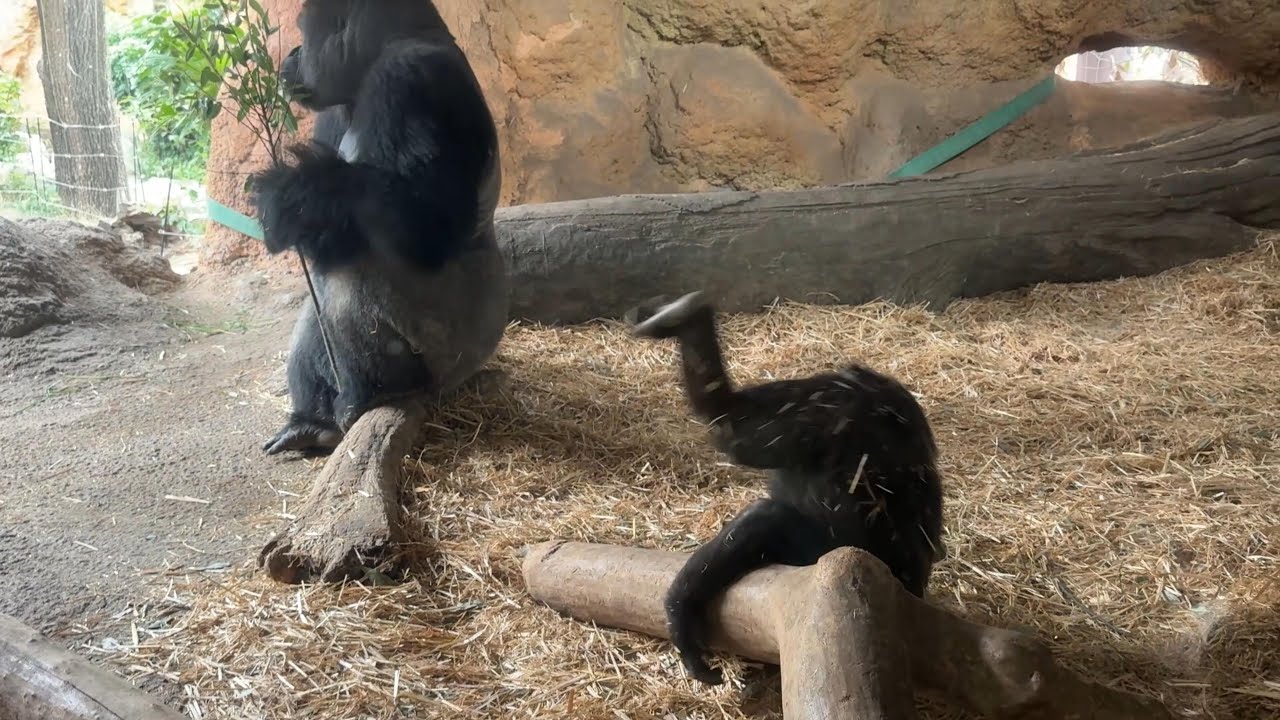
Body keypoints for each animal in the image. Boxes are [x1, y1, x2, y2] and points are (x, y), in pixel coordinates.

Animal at [249, 0, 508, 455]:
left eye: (302, 29)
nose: (294, 53)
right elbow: (329, 232)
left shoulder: (409, 76)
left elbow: (429, 228)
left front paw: (295, 192)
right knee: (320, 301)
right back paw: (313, 421)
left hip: (454, 359)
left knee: (358, 273)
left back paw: (376, 393)